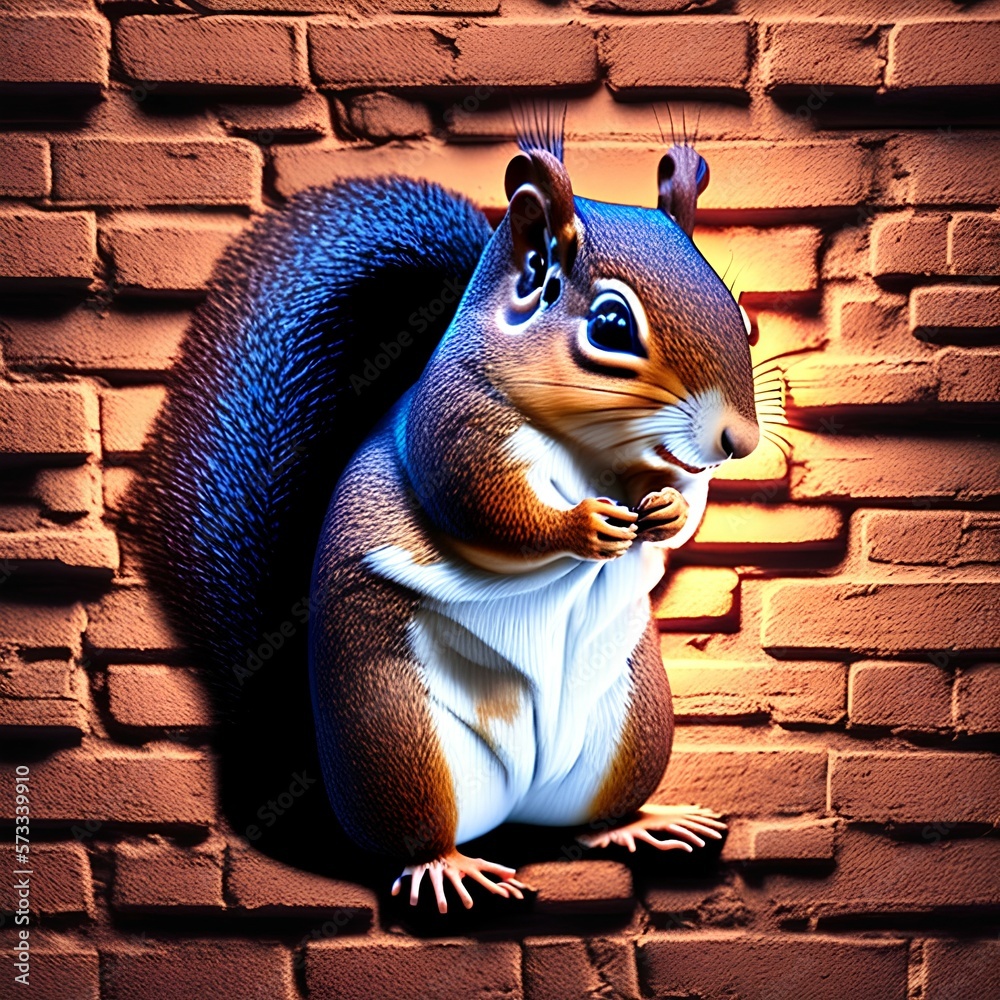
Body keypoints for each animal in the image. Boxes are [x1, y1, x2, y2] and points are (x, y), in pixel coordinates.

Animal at [137, 111, 759, 914]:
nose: (739, 441)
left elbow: (686, 500)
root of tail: (521, 803)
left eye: (741, 313)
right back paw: (446, 865)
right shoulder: (454, 422)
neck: (593, 447)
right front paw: (584, 526)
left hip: (632, 723)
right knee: (414, 834)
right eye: (612, 326)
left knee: (592, 818)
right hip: (398, 737)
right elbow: (480, 504)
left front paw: (664, 512)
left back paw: (640, 821)